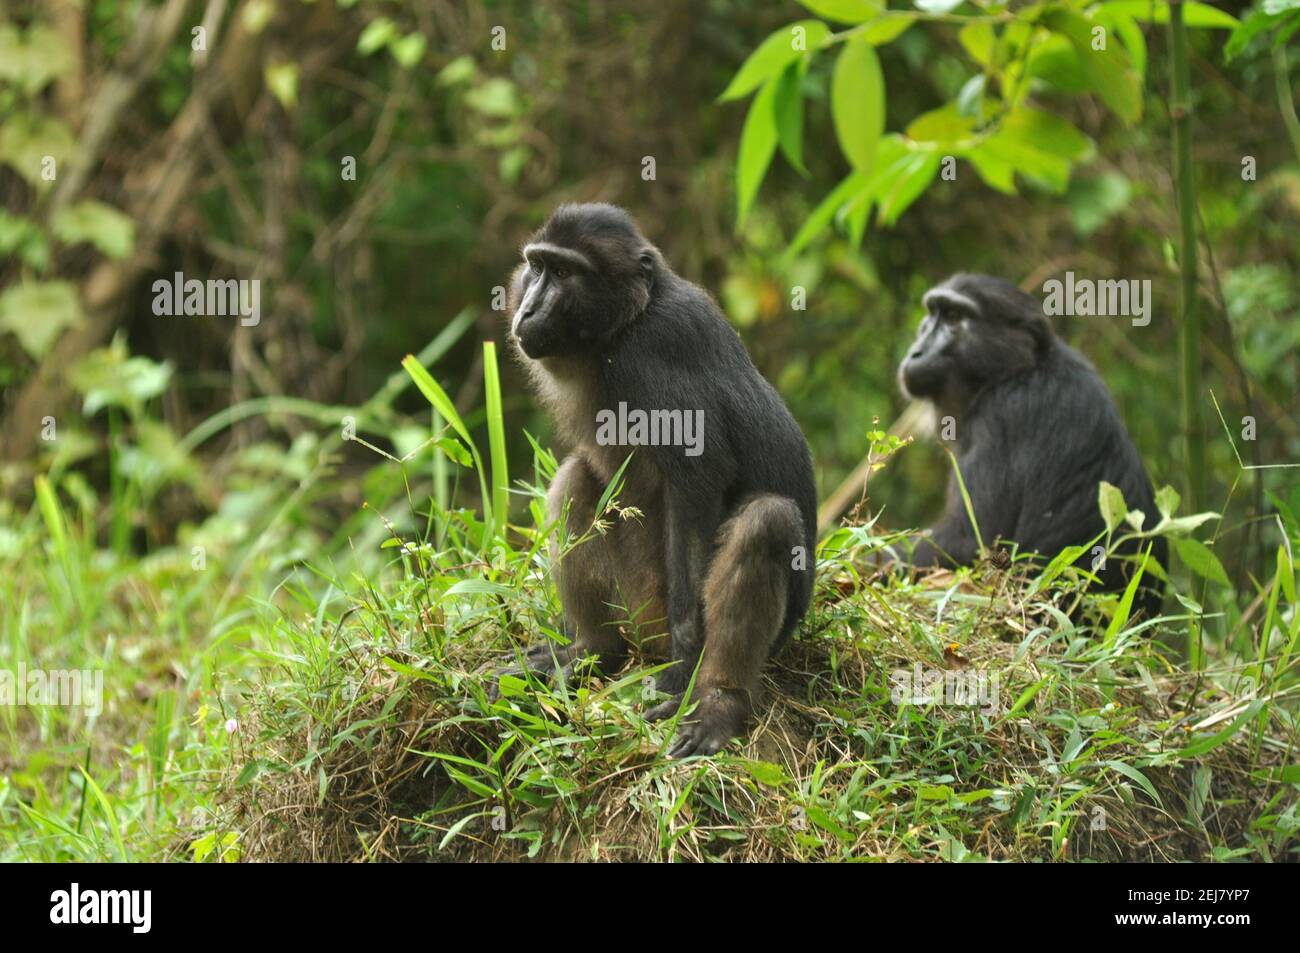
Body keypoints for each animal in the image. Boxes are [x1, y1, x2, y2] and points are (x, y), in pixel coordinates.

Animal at [492, 203, 817, 758]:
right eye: (536, 267)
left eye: (564, 273)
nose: (528, 309)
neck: (624, 328)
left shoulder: (660, 347)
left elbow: (699, 480)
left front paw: (688, 673)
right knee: (576, 477)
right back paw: (594, 650)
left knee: (767, 521)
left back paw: (719, 700)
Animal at [897, 273, 1165, 617]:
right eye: (932, 314)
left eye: (955, 317)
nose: (916, 352)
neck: (1019, 369)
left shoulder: (1001, 415)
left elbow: (971, 541)